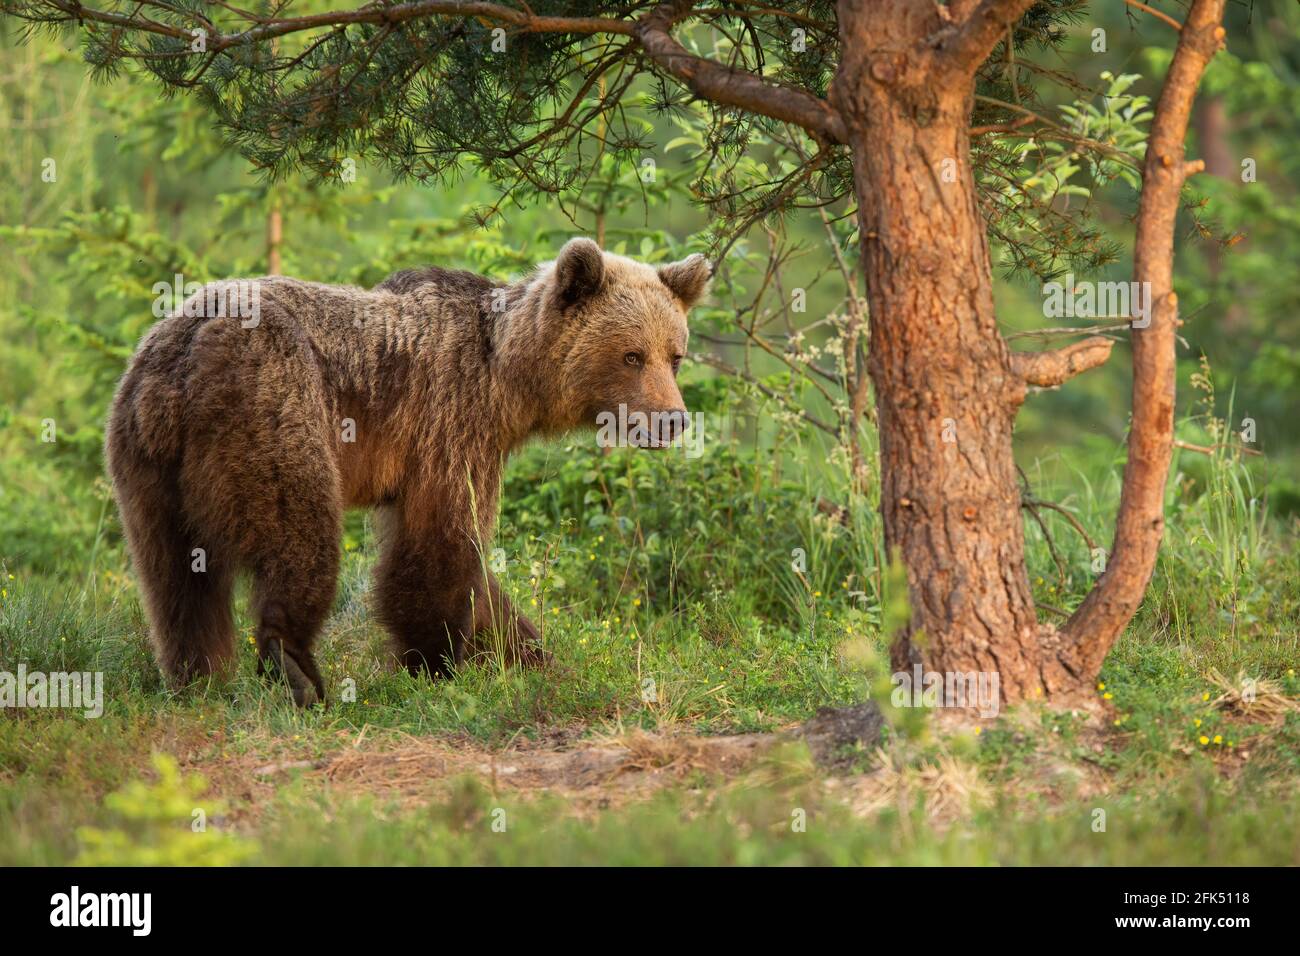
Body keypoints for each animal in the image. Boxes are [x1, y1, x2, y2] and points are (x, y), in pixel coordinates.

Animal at [106, 238, 711, 706]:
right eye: (632, 355)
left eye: (675, 355)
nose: (673, 419)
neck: (509, 378)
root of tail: (184, 351)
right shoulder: (449, 418)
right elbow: (440, 544)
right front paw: (438, 661)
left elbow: (471, 575)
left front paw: (528, 654)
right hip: (272, 405)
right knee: (299, 534)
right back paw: (295, 669)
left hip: (146, 462)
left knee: (175, 578)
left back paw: (196, 676)